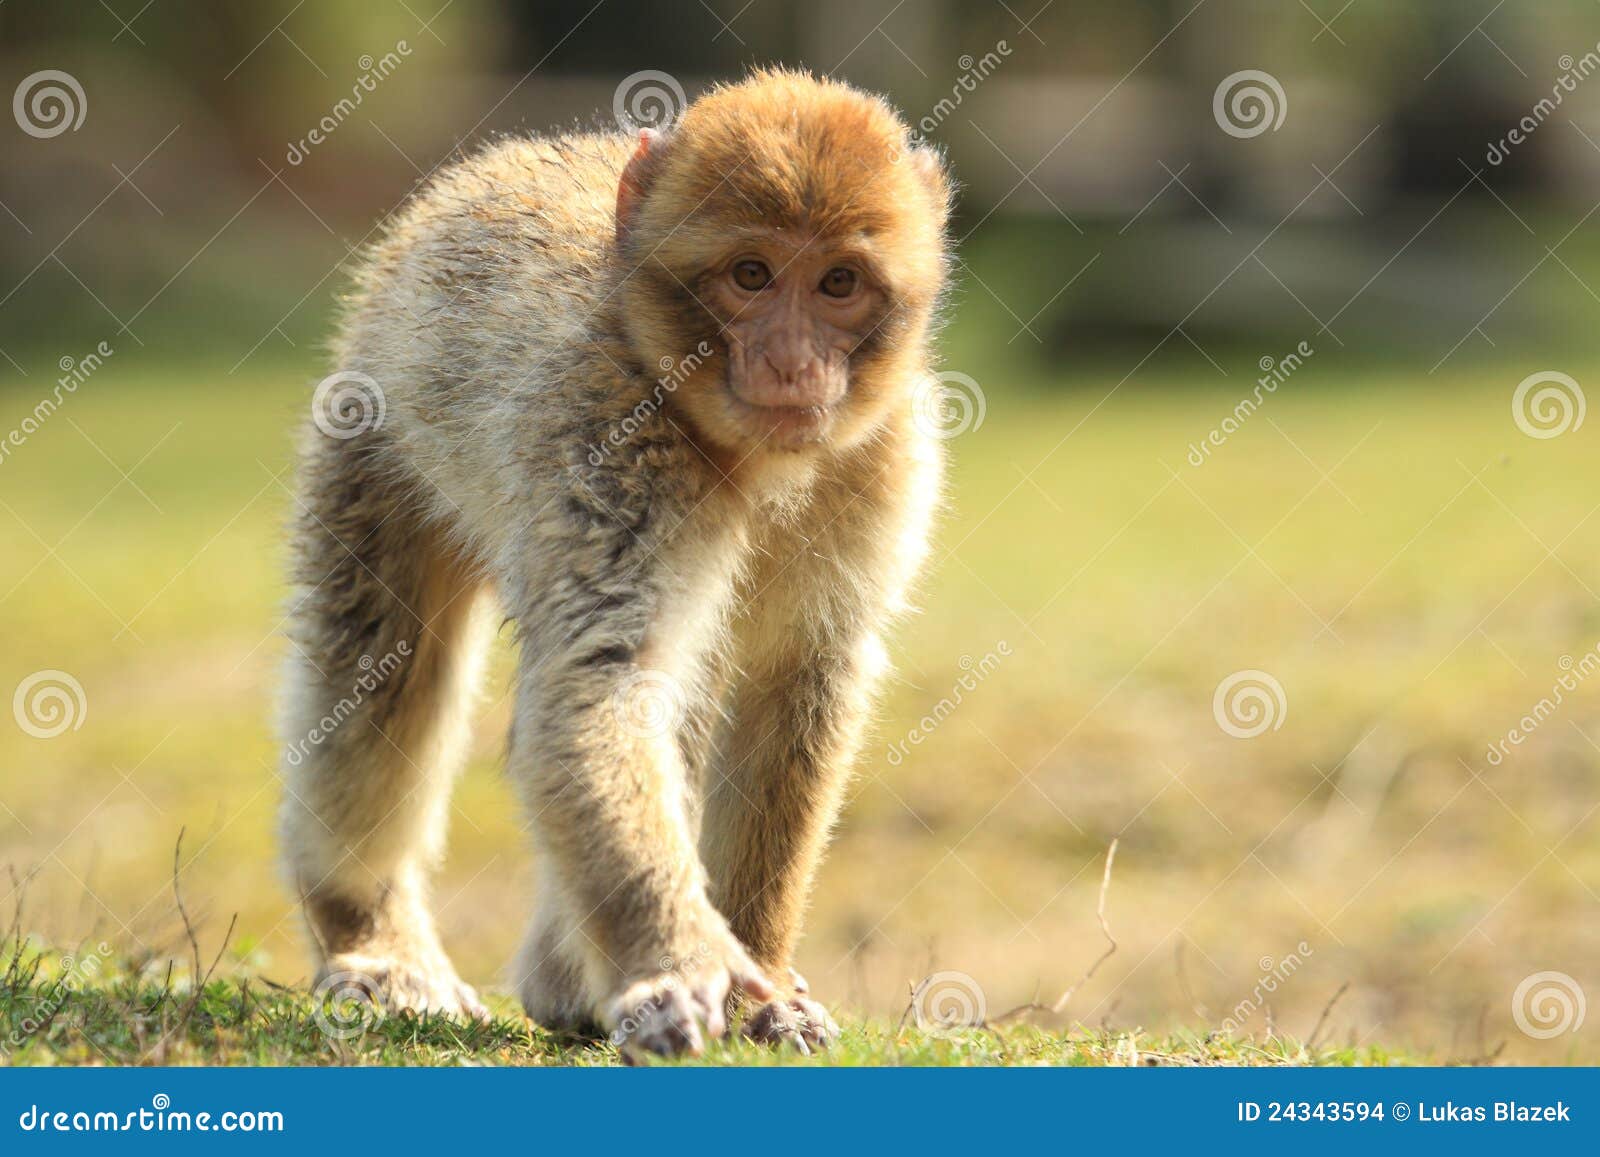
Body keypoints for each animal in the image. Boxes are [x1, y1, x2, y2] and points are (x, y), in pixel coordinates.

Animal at [276, 68, 953, 1057]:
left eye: (839, 283)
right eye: (751, 275)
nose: (793, 365)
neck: (745, 457)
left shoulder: (880, 456)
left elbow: (799, 676)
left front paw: (763, 978)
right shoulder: (602, 426)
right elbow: (601, 677)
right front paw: (675, 961)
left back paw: (563, 981)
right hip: (372, 443)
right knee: (378, 674)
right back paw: (372, 938)